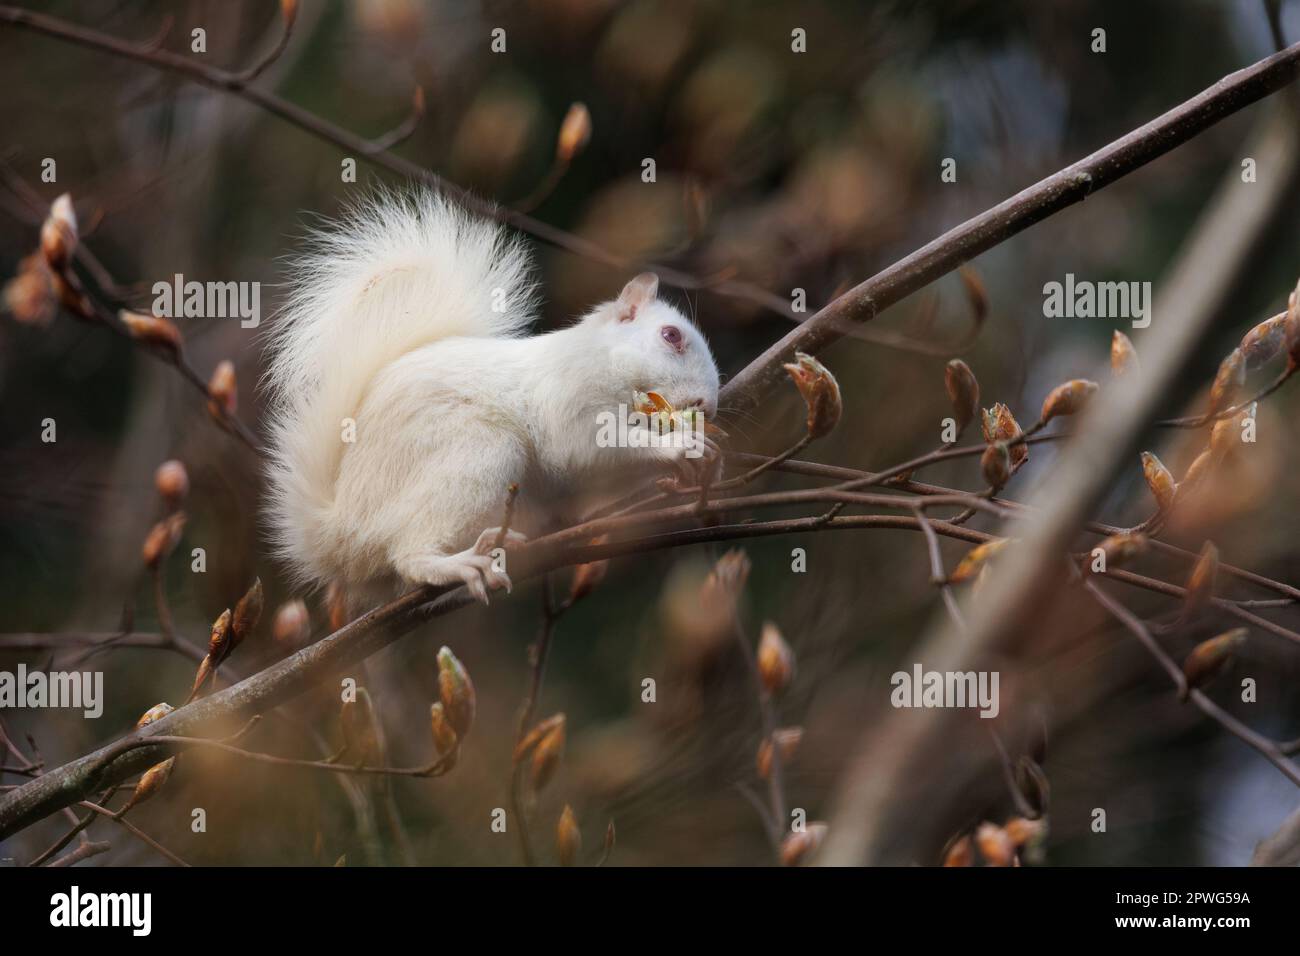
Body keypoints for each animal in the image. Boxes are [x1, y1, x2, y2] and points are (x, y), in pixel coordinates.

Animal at [264, 191, 721, 604]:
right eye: (671, 335)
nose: (707, 406)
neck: (608, 362)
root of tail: (340, 530)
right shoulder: (569, 399)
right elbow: (587, 450)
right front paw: (679, 445)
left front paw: (699, 469)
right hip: (477, 452)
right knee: (409, 553)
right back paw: (458, 564)